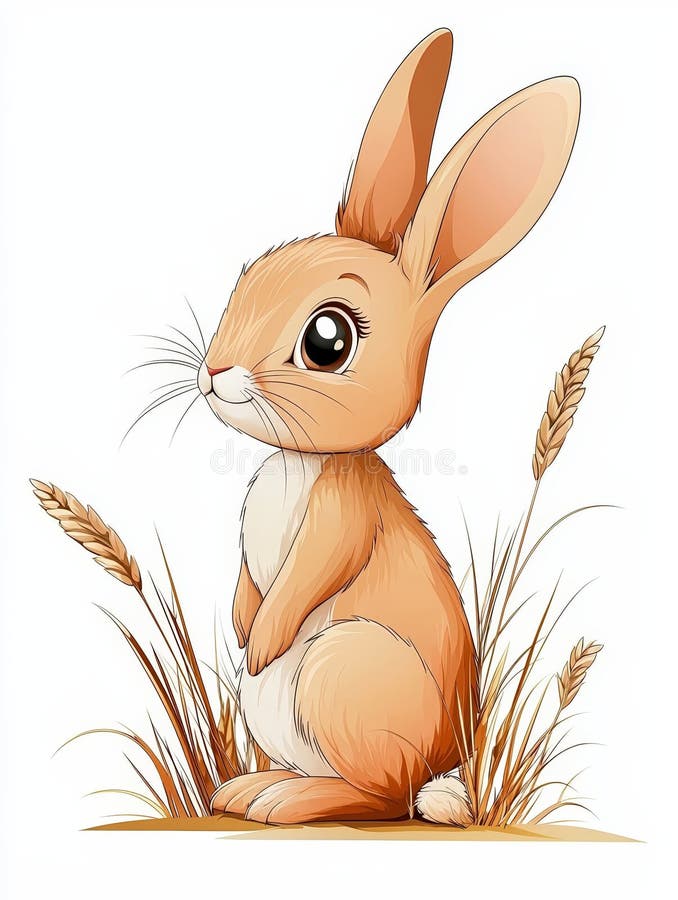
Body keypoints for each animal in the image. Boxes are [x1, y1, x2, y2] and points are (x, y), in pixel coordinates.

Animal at [199, 28, 580, 825]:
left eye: (328, 340)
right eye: (247, 276)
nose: (213, 371)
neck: (304, 459)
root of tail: (439, 766)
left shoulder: (340, 522)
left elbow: (306, 577)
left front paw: (260, 640)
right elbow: (248, 584)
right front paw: (243, 626)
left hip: (341, 667)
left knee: (376, 796)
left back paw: (284, 801)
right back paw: (242, 790)